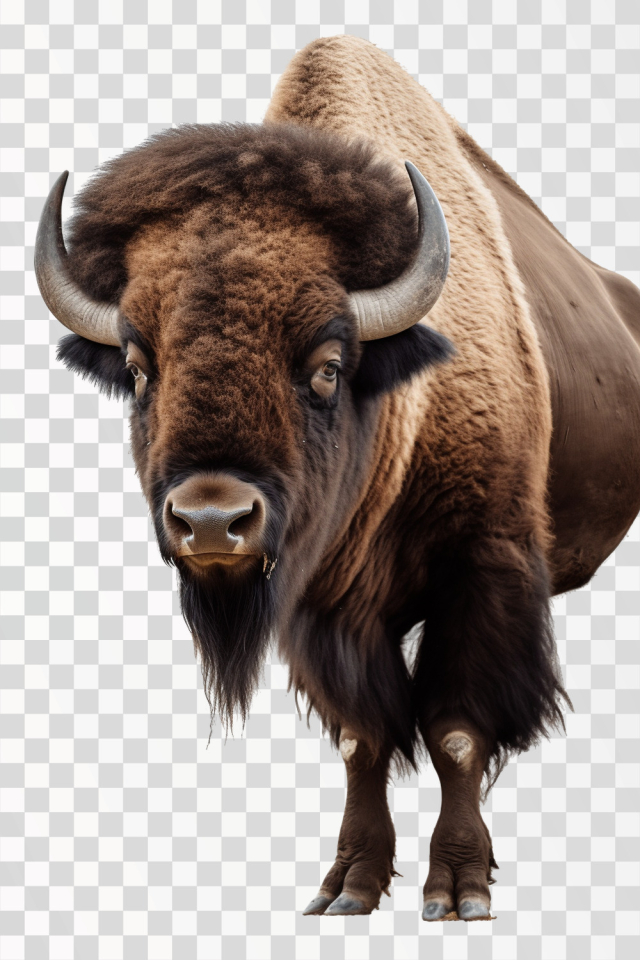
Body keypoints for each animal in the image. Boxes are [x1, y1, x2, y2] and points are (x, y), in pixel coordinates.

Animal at [35, 36, 640, 920]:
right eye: (141, 368)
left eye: (326, 364)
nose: (211, 522)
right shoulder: (325, 611)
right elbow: (364, 736)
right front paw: (349, 886)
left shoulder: (482, 570)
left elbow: (457, 731)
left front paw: (458, 891)